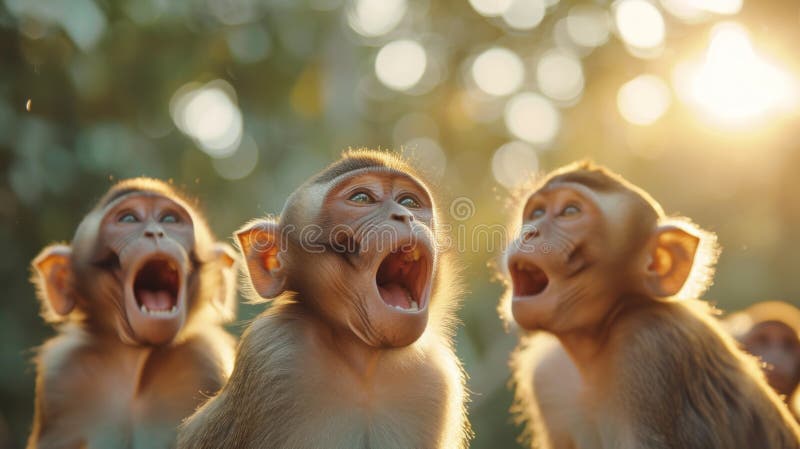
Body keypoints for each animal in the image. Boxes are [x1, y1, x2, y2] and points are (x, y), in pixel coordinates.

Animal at [27, 178, 238, 449]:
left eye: (169, 219)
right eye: (128, 219)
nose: (155, 233)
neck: (134, 358)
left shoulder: (206, 363)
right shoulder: (62, 378)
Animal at [177, 149, 469, 449]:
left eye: (409, 202)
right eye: (362, 198)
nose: (404, 216)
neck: (364, 366)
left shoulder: (435, 377)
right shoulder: (273, 357)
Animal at [499, 161, 800, 449]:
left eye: (570, 211)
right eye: (537, 213)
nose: (529, 233)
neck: (595, 345)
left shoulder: (650, 345)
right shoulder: (546, 374)